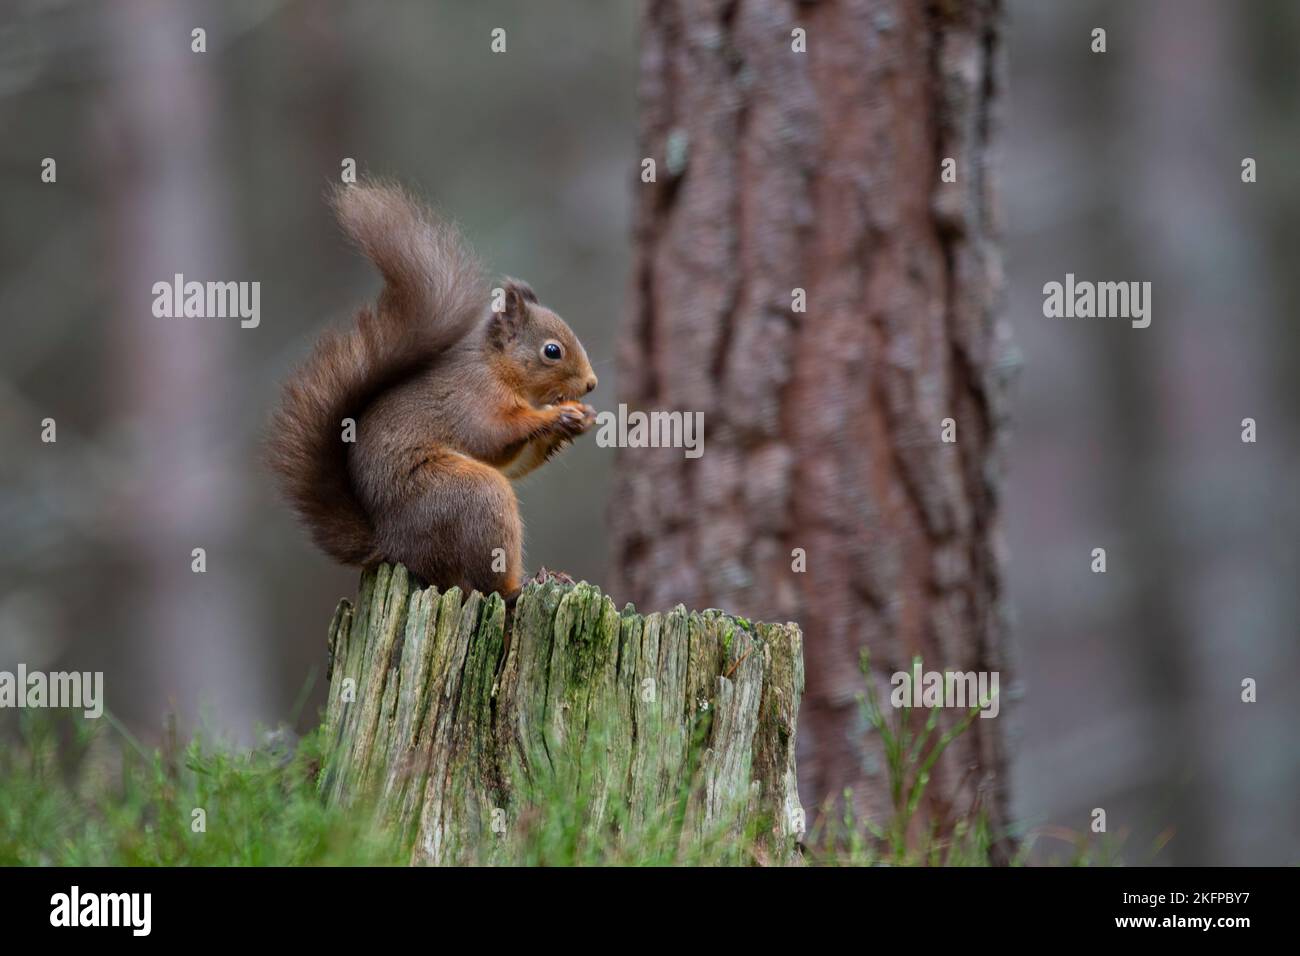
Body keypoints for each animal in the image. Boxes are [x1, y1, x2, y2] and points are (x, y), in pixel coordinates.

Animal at [267, 181, 598, 600]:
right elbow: (493, 436)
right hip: (471, 496)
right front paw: (555, 416)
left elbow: (512, 459)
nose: (591, 384)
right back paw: (522, 584)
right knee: (482, 582)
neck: (496, 367)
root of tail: (395, 547)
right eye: (552, 351)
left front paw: (579, 422)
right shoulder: (473, 397)